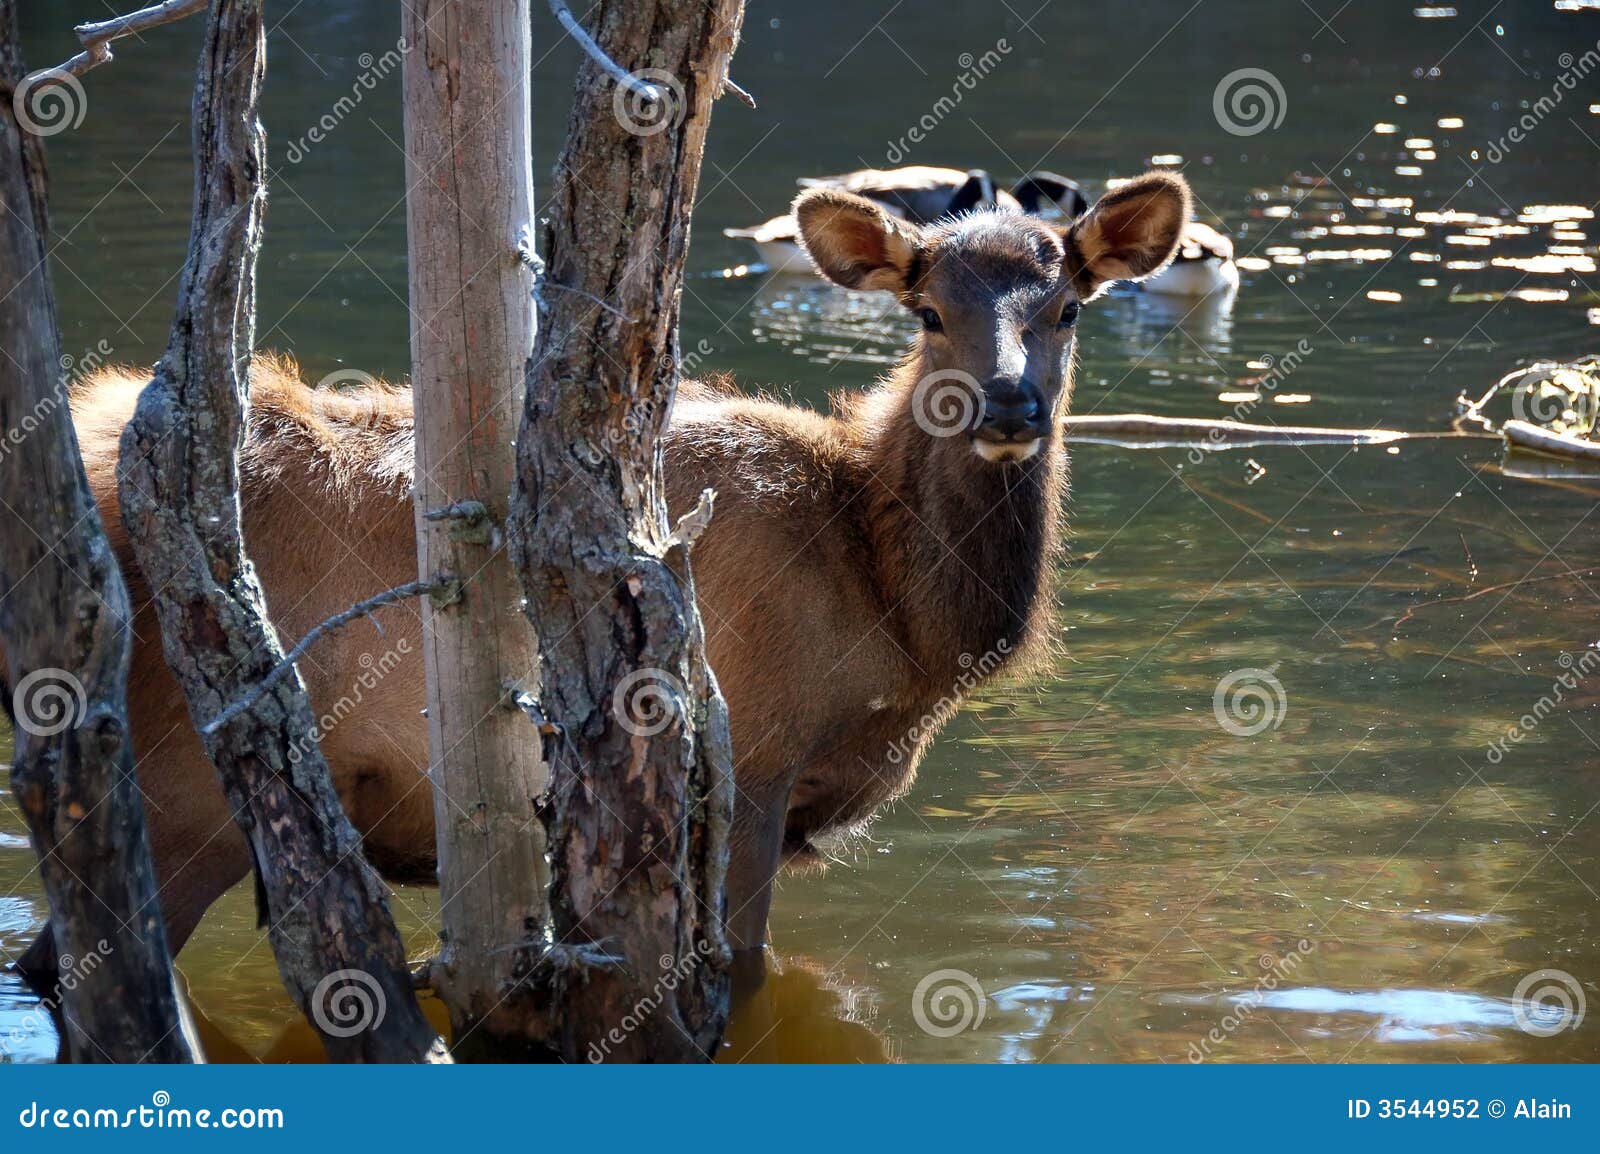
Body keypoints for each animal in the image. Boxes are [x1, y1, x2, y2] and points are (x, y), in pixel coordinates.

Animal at [6, 171, 1188, 987]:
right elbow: (742, 968)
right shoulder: (751, 759)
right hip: (182, 782)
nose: (1009, 407)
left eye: (1068, 307)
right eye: (930, 310)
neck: (893, 616)